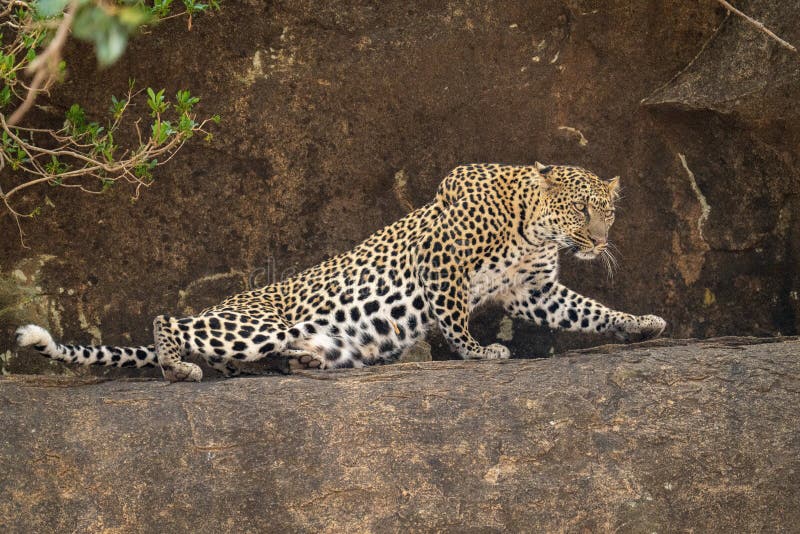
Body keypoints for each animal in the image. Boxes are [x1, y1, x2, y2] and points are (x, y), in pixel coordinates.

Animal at [15, 162, 667, 382]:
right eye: (581, 210)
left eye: (607, 212)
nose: (598, 241)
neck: (530, 226)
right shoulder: (442, 266)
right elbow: (455, 320)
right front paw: (480, 352)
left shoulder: (533, 292)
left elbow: (589, 310)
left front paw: (641, 323)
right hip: (256, 323)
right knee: (166, 320)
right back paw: (179, 366)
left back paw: (290, 364)